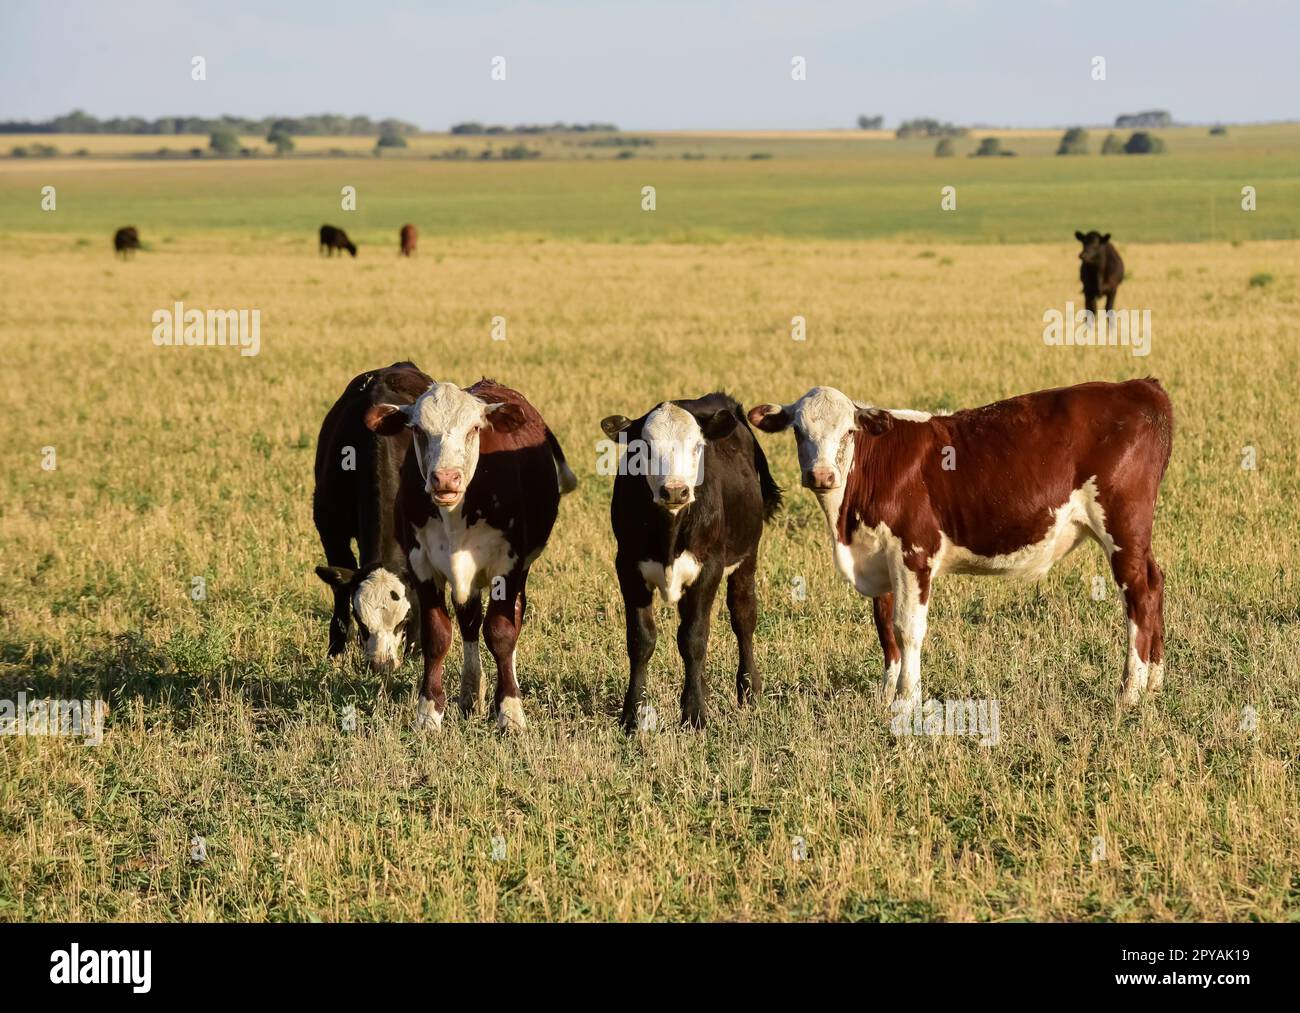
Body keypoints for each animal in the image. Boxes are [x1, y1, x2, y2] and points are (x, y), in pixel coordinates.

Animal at [313, 361, 432, 671]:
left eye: (403, 620)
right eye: (361, 620)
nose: (381, 665)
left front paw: (416, 649)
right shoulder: (330, 526)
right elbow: (340, 585)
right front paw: (337, 648)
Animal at [366, 378, 577, 732]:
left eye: (474, 429)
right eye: (419, 429)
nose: (445, 478)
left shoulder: (508, 565)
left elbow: (501, 634)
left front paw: (510, 710)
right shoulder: (422, 566)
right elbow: (438, 635)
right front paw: (429, 712)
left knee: (512, 618)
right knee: (469, 622)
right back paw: (470, 694)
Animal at [600, 393, 781, 731]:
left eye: (697, 446)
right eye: (643, 447)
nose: (675, 490)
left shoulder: (708, 568)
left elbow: (694, 638)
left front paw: (695, 714)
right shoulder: (628, 567)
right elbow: (641, 639)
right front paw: (632, 715)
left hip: (747, 556)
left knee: (743, 617)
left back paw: (749, 689)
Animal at [748, 379, 1172, 708]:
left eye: (848, 432)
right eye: (798, 431)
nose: (821, 475)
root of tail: (1138, 386)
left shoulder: (914, 552)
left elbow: (908, 627)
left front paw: (908, 700)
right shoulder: (880, 559)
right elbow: (885, 627)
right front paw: (885, 697)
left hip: (1122, 526)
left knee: (1138, 593)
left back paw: (1130, 691)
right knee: (1155, 583)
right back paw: (1154, 683)